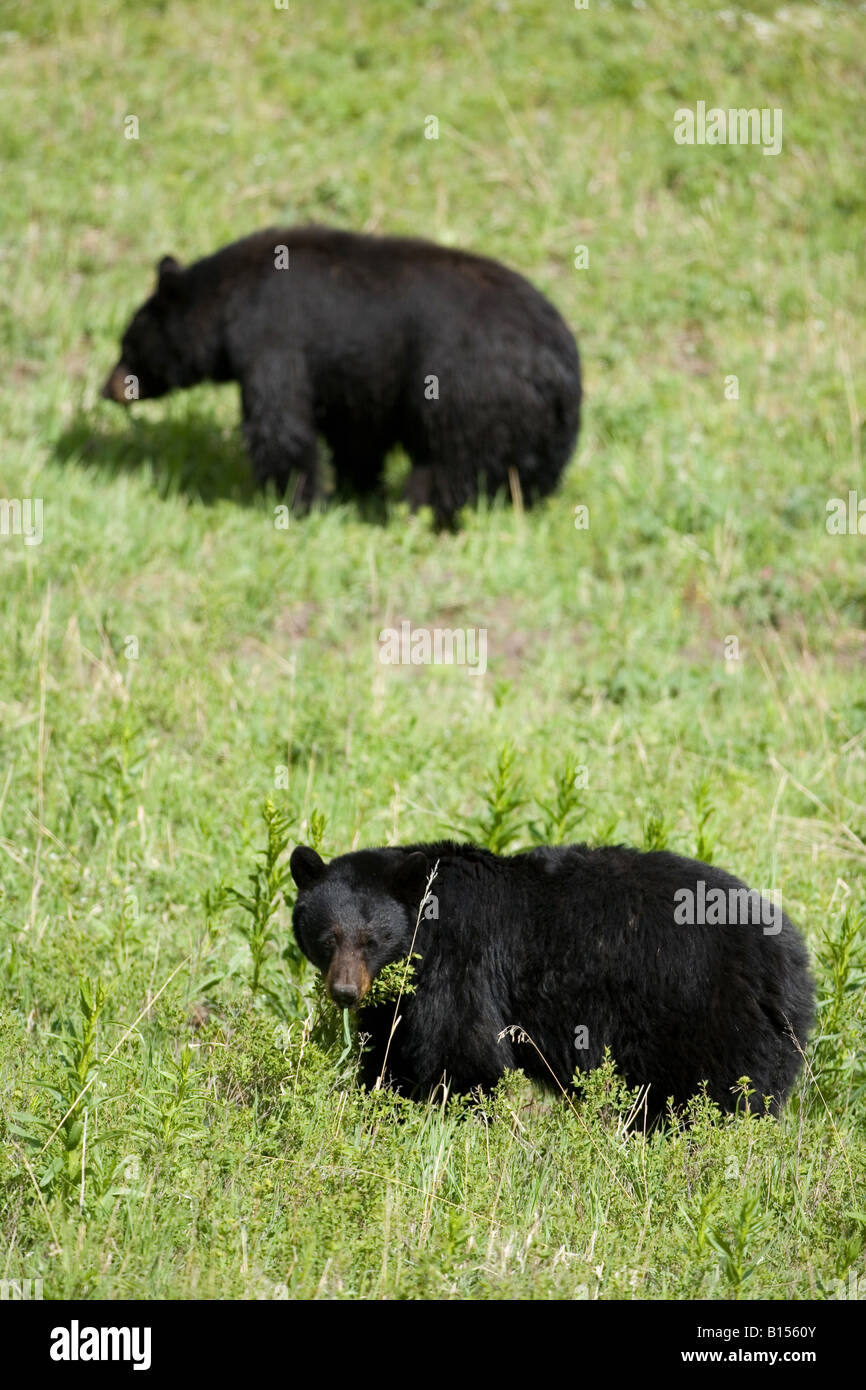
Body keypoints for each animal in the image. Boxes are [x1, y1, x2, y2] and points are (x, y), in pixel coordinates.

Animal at [102, 227, 581, 527]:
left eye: (127, 346)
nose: (107, 389)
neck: (228, 302)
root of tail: (555, 365)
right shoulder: (357, 376)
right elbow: (357, 434)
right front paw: (354, 488)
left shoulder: (273, 339)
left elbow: (280, 427)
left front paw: (298, 501)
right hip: (543, 426)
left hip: (468, 394)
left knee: (449, 466)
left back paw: (420, 513)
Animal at [289, 840, 815, 1121]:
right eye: (328, 938)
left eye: (370, 939)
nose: (345, 992)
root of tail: (793, 957)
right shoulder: (399, 998)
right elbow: (390, 1050)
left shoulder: (462, 964)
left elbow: (464, 1054)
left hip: (711, 1019)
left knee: (722, 1098)